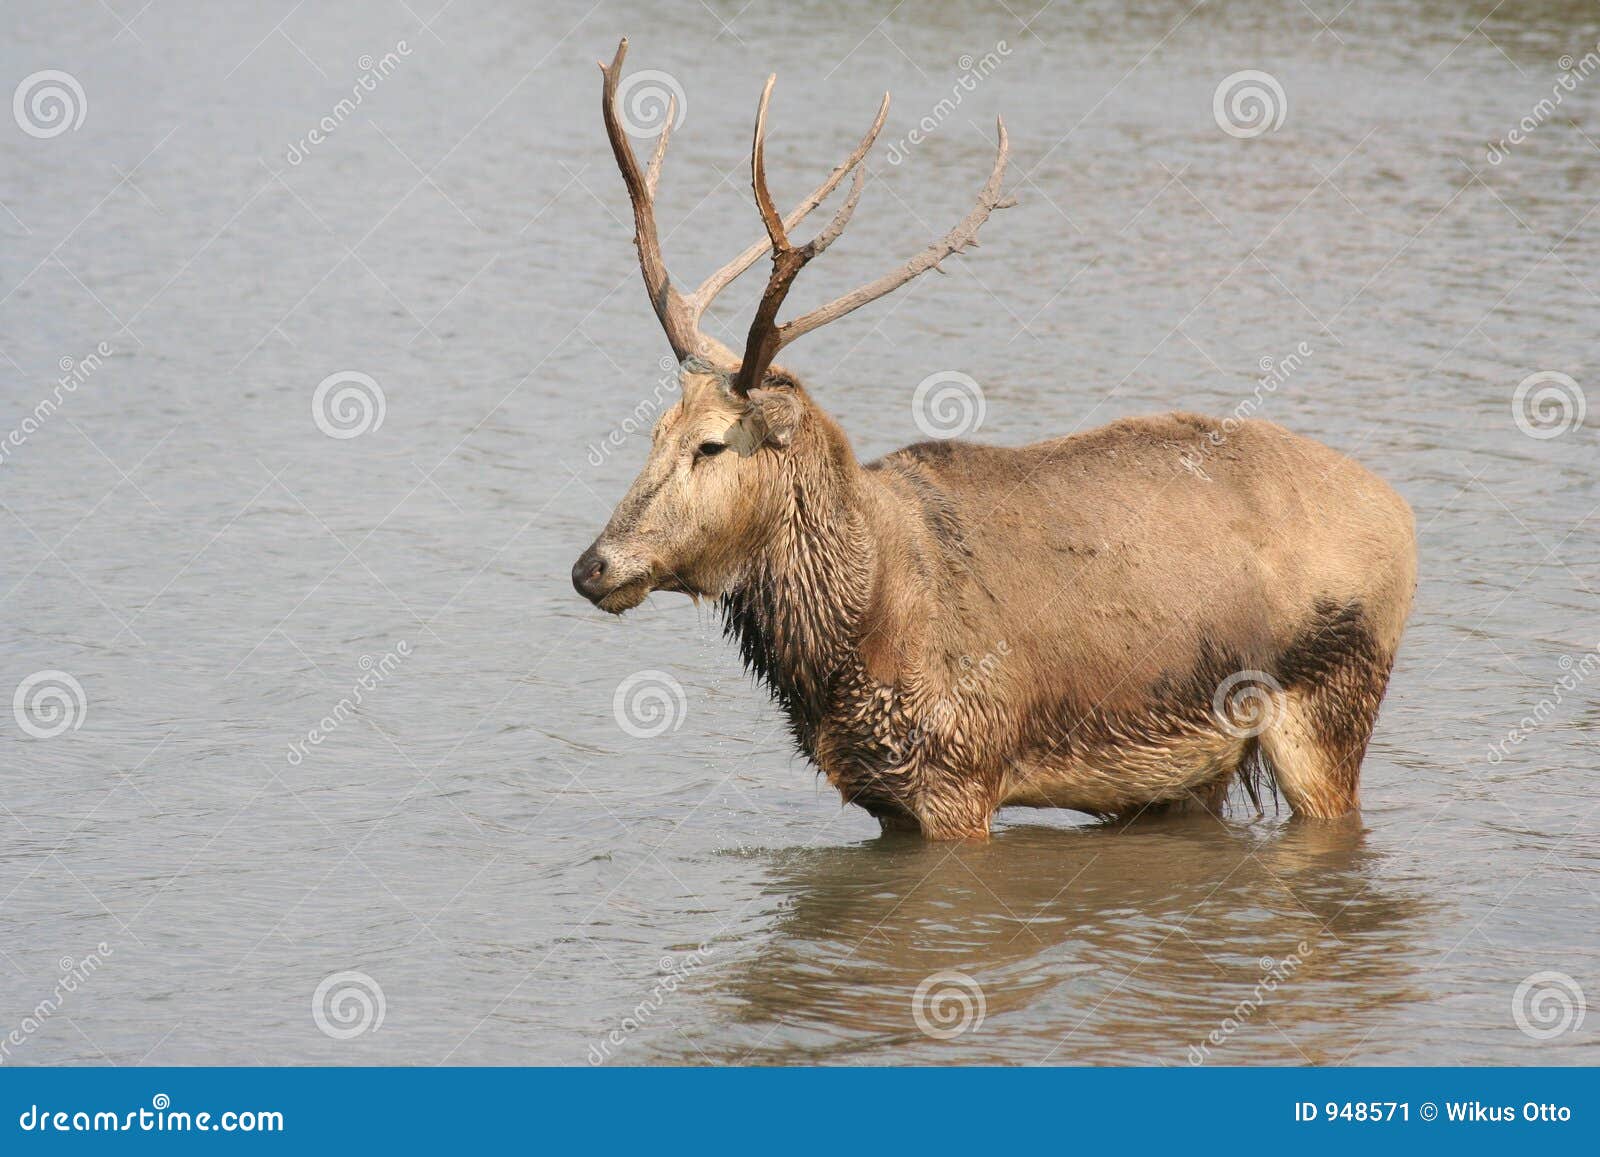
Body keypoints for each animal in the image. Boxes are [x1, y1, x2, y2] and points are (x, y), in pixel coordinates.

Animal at [572, 40, 1417, 840]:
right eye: (654, 431)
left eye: (711, 445)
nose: (592, 565)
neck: (859, 629)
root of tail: (1406, 519)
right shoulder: (887, 799)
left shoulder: (962, 770)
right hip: (1192, 771)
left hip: (1330, 707)